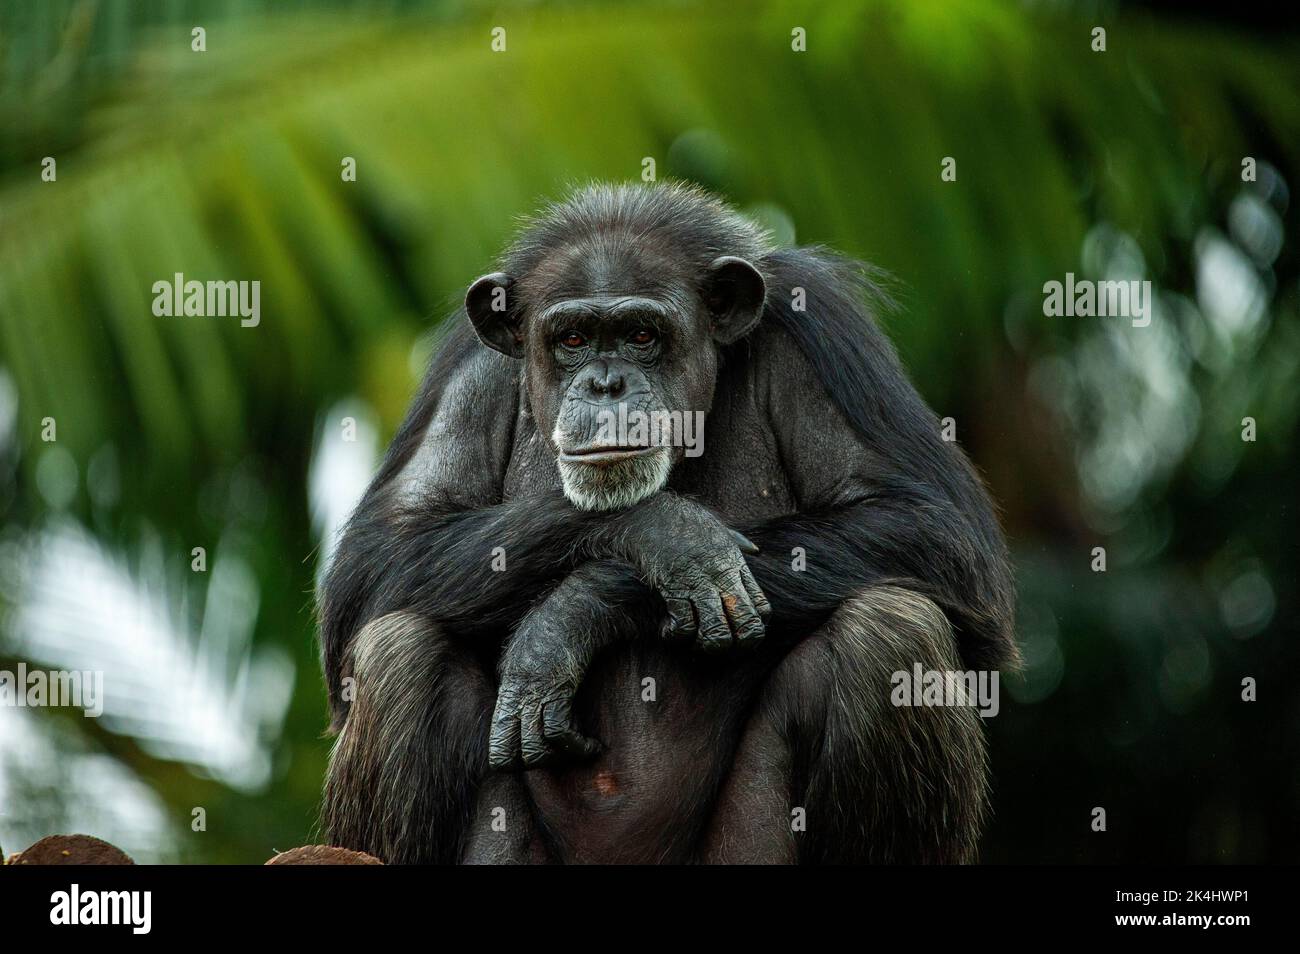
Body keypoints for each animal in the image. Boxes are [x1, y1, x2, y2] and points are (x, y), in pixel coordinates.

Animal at [318, 181, 1016, 864]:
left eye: (641, 335)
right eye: (572, 340)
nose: (605, 385)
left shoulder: (821, 329)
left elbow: (930, 526)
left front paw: (572, 617)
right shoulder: (469, 369)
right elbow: (381, 551)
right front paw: (667, 535)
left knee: (894, 631)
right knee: (401, 651)